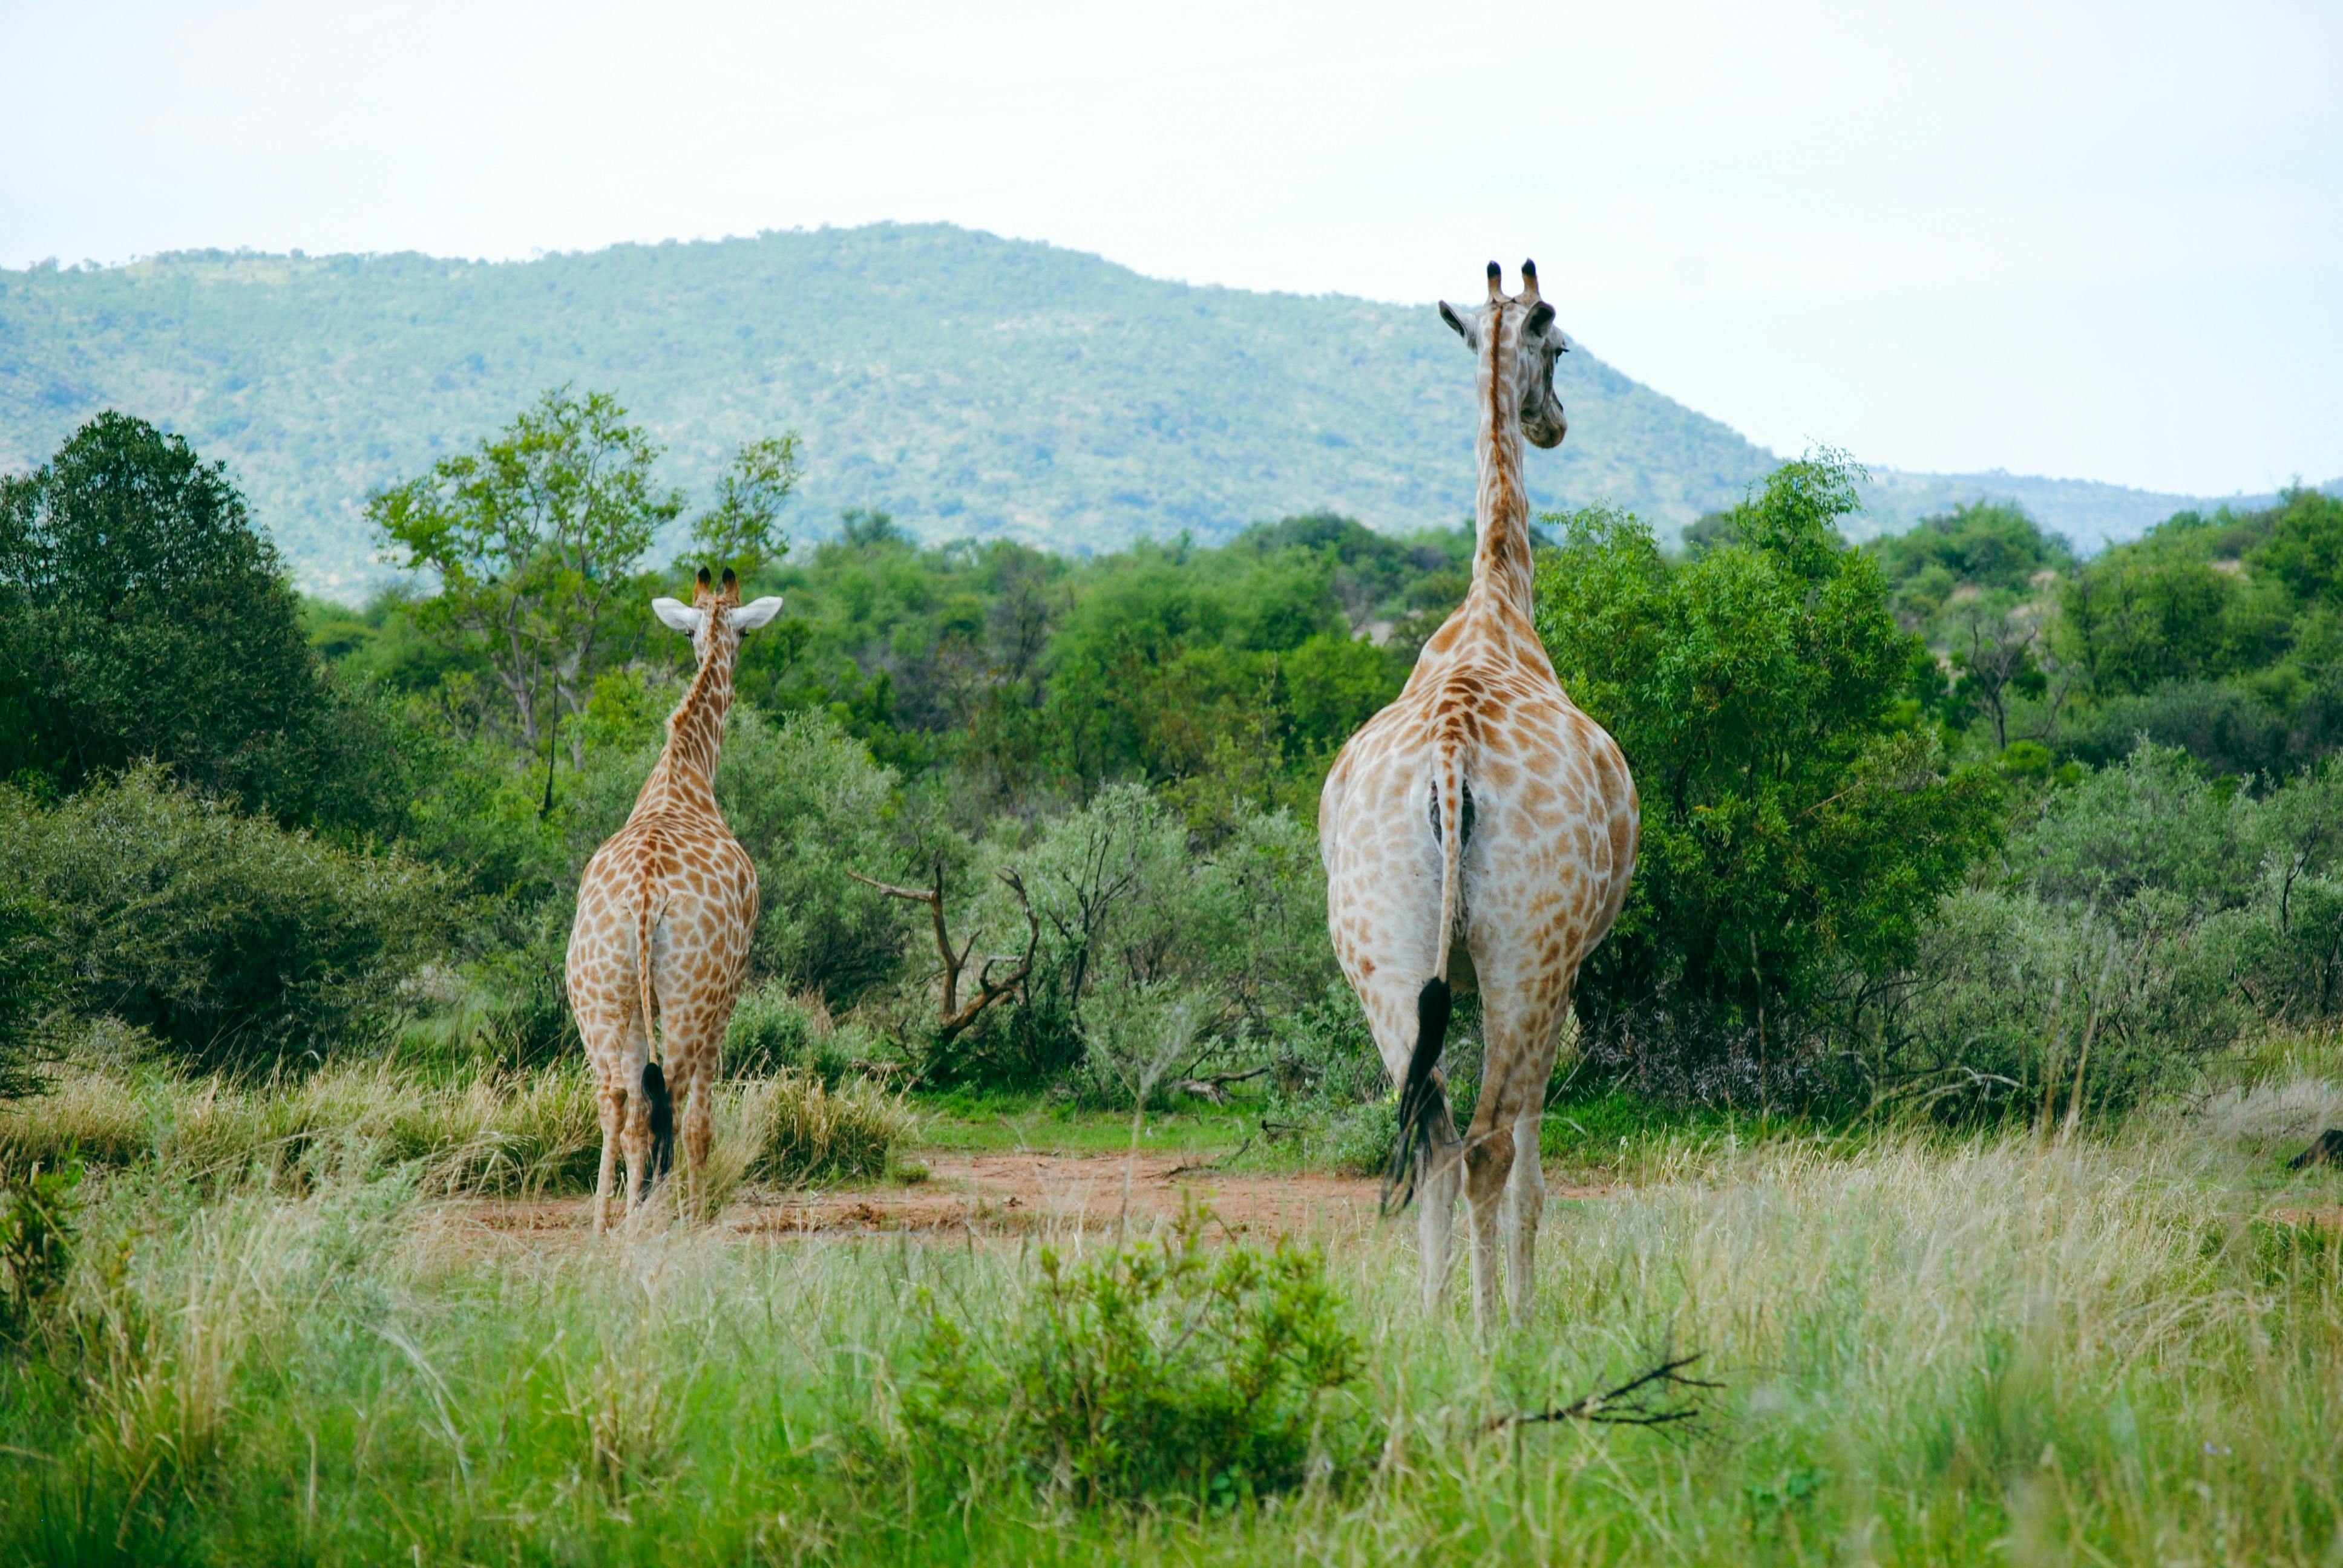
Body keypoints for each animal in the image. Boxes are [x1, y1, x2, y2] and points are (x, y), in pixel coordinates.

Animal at [567, 566, 783, 1232]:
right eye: (746, 631)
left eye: (692, 630)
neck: (684, 775)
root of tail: (643, 898)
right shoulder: (730, 992)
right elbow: (699, 1124)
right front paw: (696, 1218)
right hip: (691, 997)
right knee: (671, 1103)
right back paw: (655, 1224)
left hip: (599, 996)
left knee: (617, 1100)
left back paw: (605, 1228)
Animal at [1319, 260, 1638, 1331]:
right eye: (1562, 346)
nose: (1555, 424)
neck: (1497, 607)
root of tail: (1450, 760)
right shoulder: (1568, 966)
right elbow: (1538, 1167)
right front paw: (1528, 1308)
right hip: (1525, 954)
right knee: (1492, 1145)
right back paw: (1497, 1330)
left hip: (1380, 954)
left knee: (1432, 1142)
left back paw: (1430, 1322)